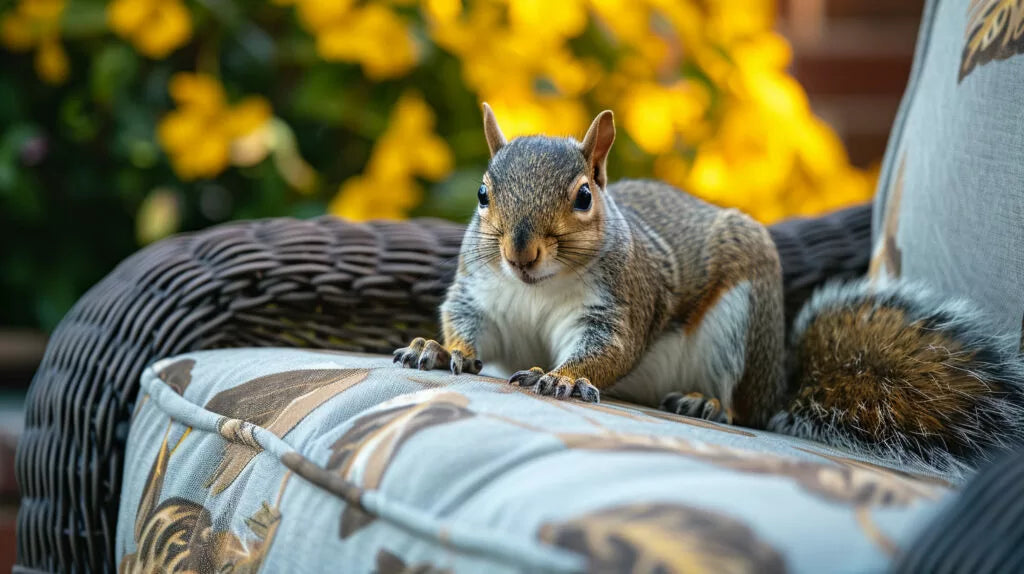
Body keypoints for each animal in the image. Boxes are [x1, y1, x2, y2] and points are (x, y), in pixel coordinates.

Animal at [394, 104, 1024, 475]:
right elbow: (469, 328)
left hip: (737, 323)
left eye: (583, 197)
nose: (519, 252)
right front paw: (439, 349)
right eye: (483, 194)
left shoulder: (621, 303)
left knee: (743, 409)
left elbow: (611, 350)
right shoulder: (481, 294)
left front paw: (566, 377)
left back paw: (707, 403)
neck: (536, 288)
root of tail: (778, 387)